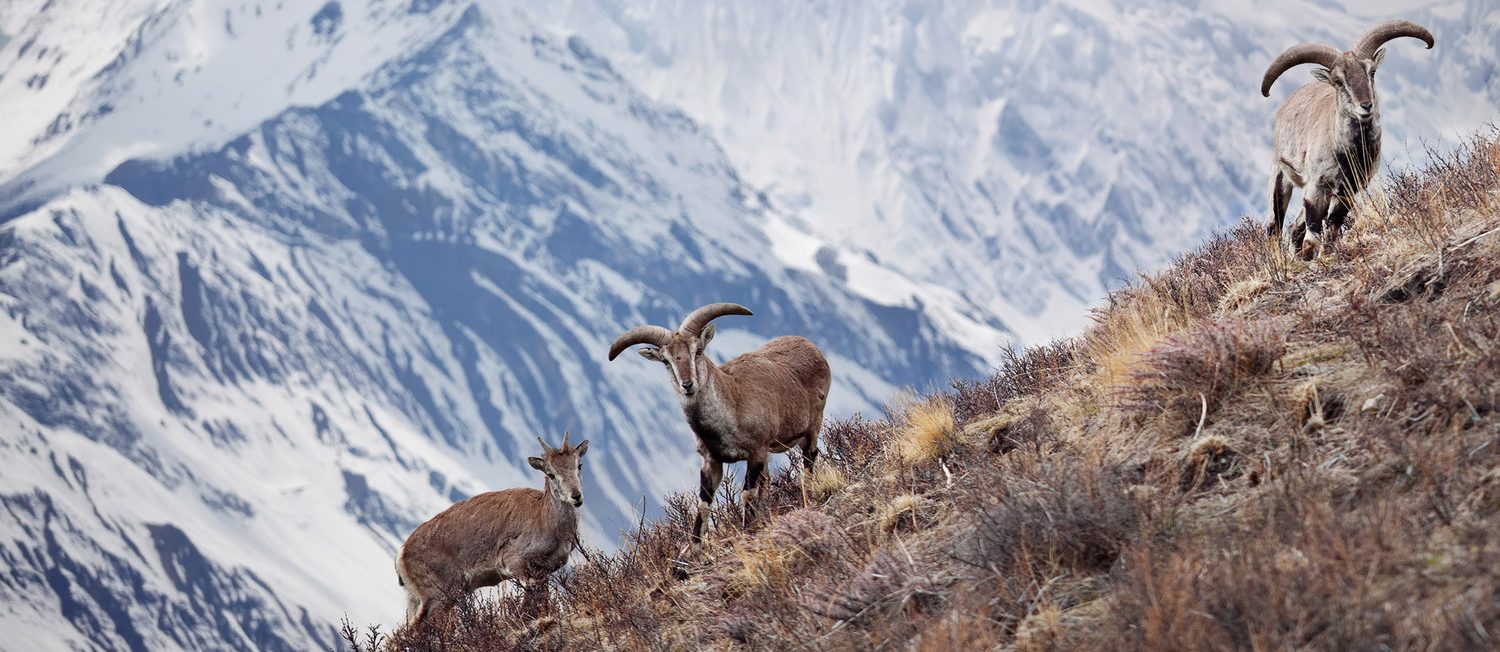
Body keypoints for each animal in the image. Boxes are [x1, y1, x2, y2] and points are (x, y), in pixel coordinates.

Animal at [395, 433, 589, 626]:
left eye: (578, 465)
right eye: (551, 473)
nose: (576, 496)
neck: (547, 523)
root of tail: (401, 555)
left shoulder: (544, 569)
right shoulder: (515, 560)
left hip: (418, 598)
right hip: (438, 593)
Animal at [607, 302, 831, 560]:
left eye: (697, 351)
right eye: (666, 361)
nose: (687, 385)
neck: (732, 405)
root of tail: (812, 347)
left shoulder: (756, 451)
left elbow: (747, 494)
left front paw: (748, 530)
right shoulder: (711, 460)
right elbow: (704, 503)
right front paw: (693, 552)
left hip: (812, 426)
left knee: (809, 459)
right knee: (768, 480)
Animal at [1261, 19, 1434, 259]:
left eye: (1372, 72)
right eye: (1338, 81)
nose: (1366, 106)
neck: (1348, 153)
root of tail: (1283, 107)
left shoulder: (1348, 190)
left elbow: (1333, 226)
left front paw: (1327, 255)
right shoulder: (1317, 186)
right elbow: (1313, 234)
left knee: (1295, 227)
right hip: (1280, 176)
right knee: (1274, 226)